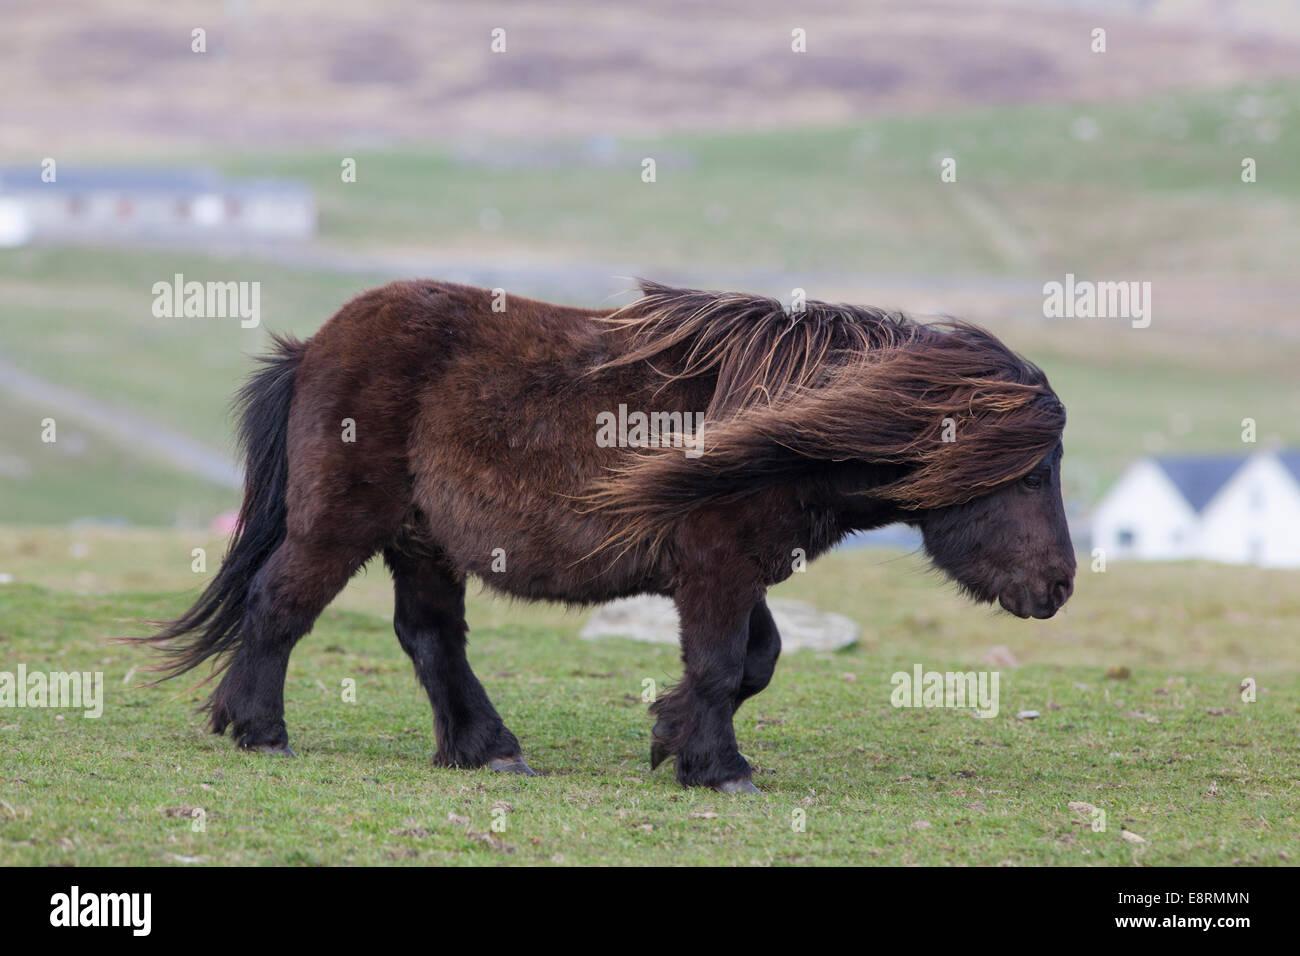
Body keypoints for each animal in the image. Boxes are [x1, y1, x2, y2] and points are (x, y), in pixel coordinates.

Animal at [134, 279, 1074, 794]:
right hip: (343, 524)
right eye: (1033, 475)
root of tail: (315, 347)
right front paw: (718, 769)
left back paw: (487, 751)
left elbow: (756, 663)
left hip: (421, 544)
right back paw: (261, 731)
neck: (784, 424)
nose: (1059, 587)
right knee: (280, 603)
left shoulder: (735, 571)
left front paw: (669, 736)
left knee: (431, 639)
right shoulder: (717, 567)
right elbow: (724, 664)